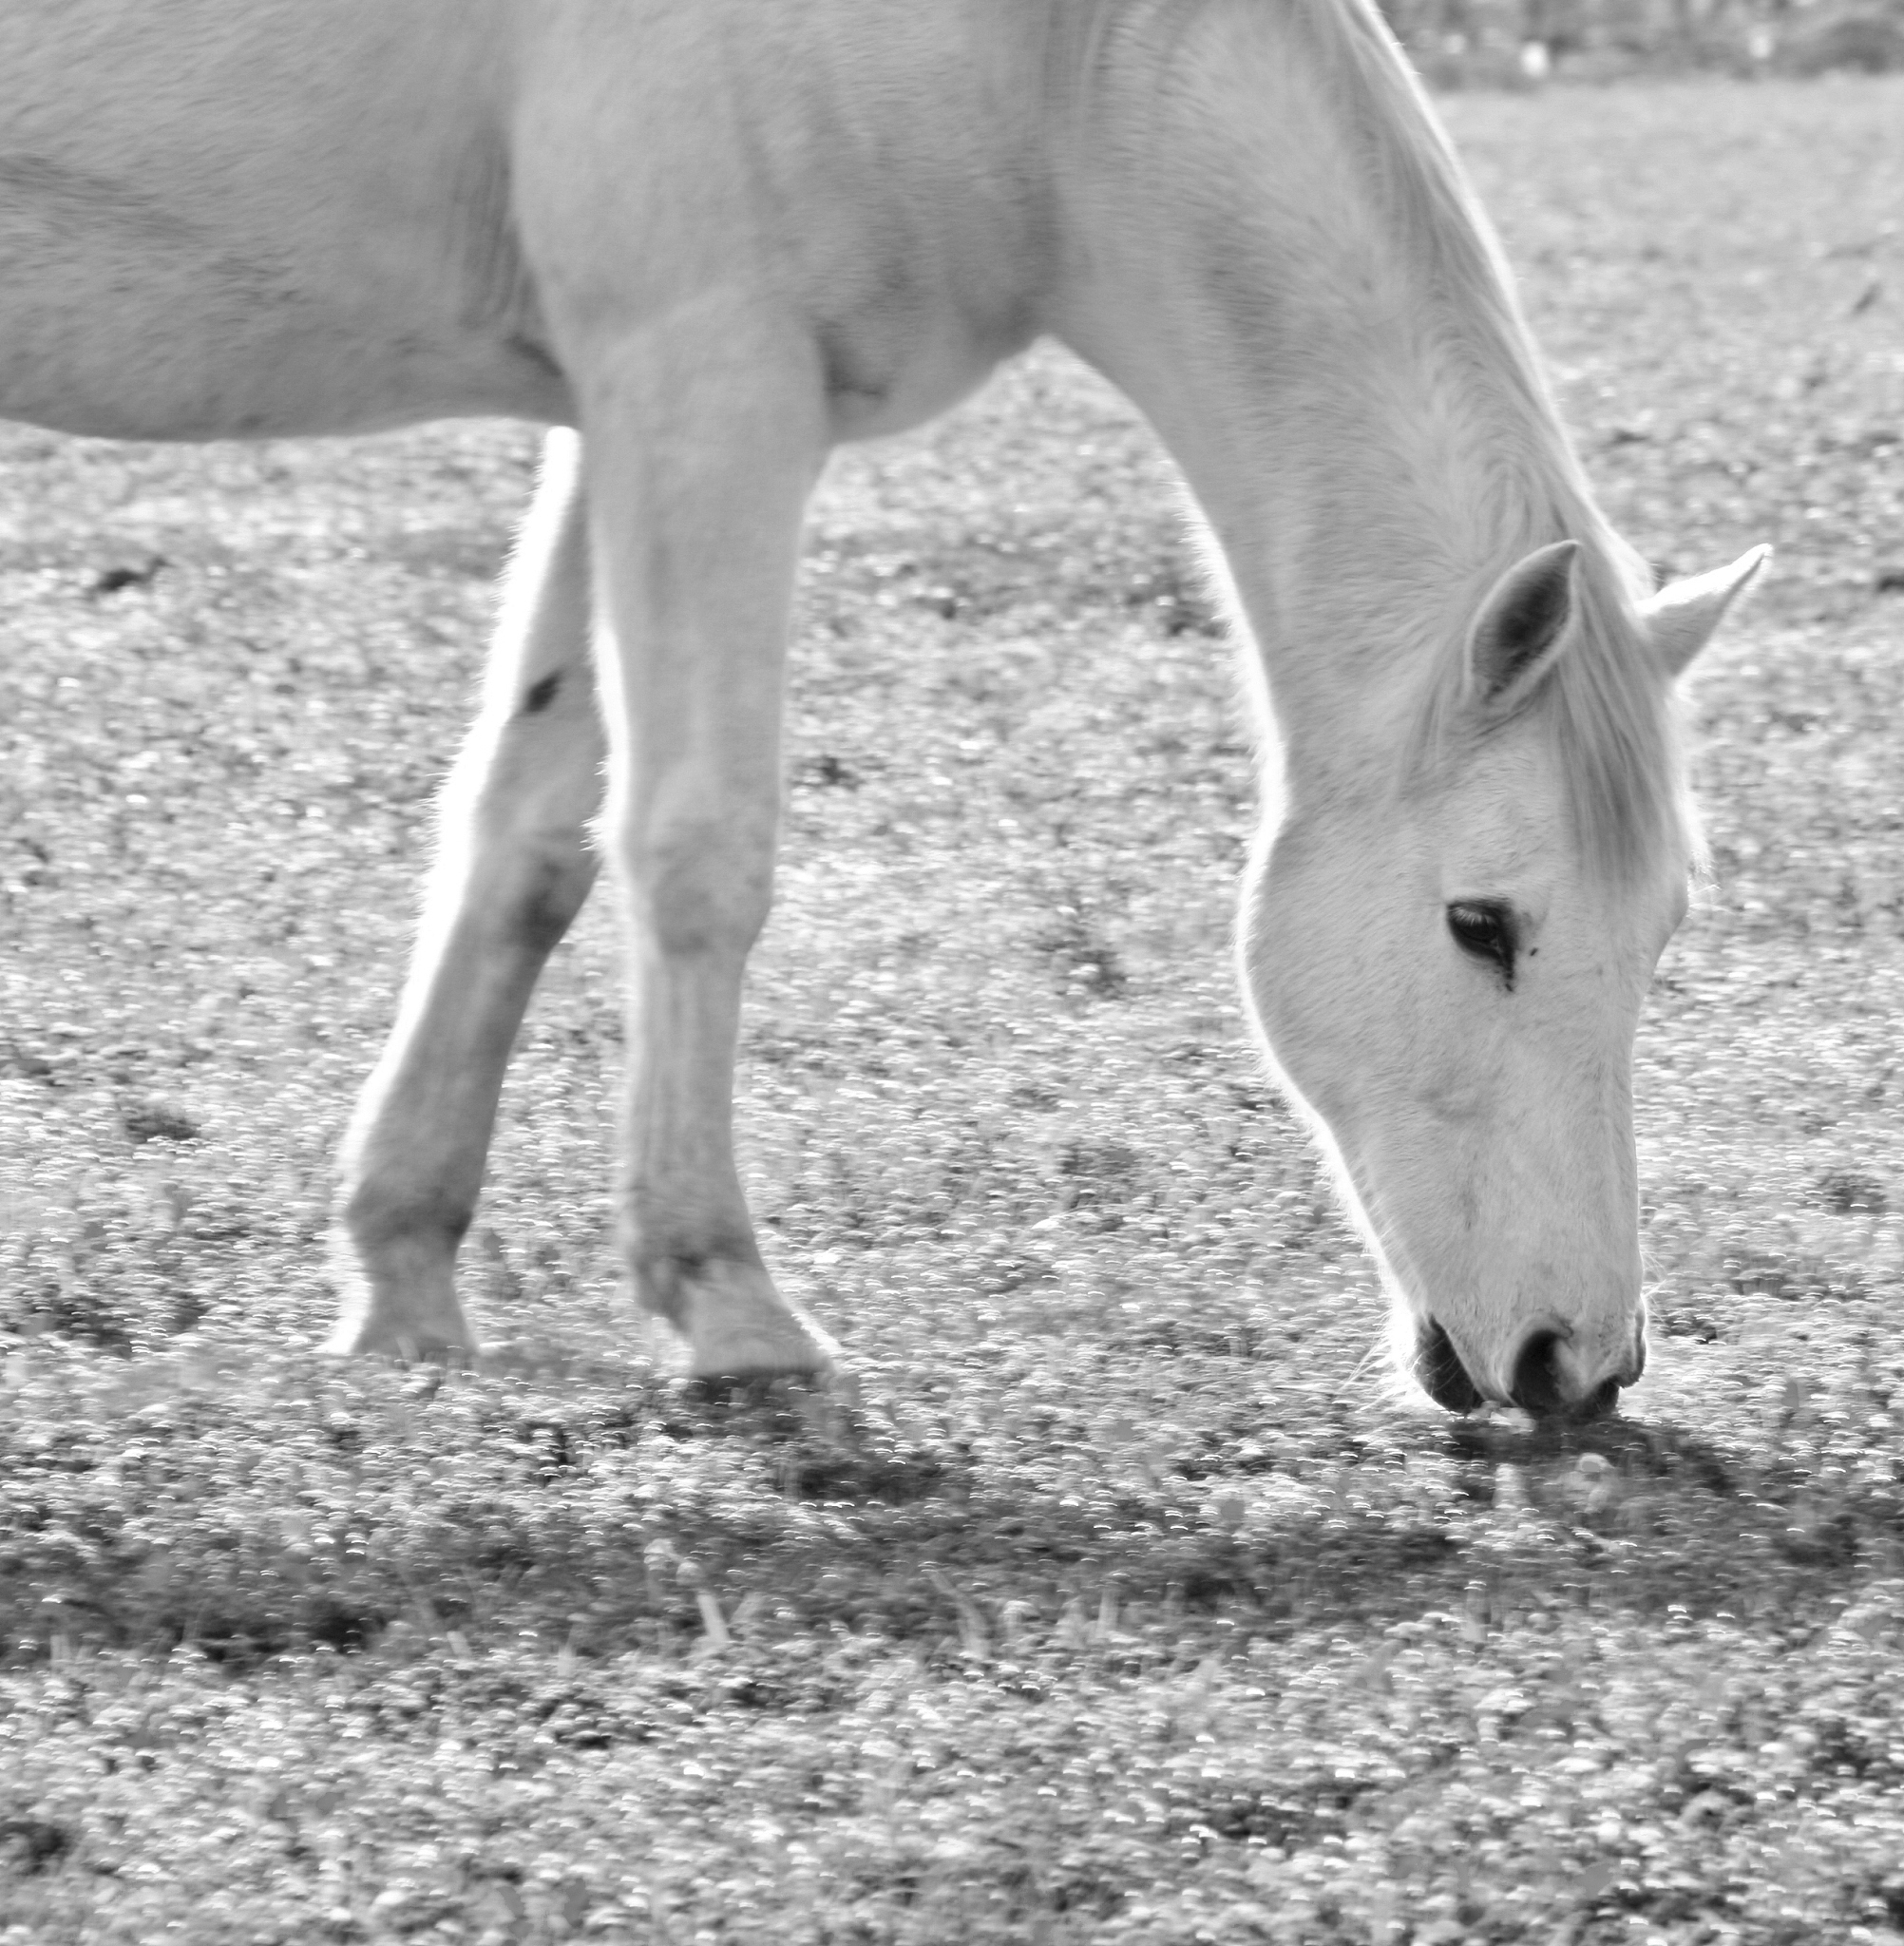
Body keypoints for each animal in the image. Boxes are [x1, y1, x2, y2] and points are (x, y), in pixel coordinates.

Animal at [0, 0, 1764, 1418]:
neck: (1042, 56)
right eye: (1482, 924)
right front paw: (726, 1304)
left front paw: (404, 1278)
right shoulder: (710, 386)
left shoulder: (613, 410)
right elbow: (697, 853)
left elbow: (526, 839)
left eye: (1659, 929)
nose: (1577, 1368)